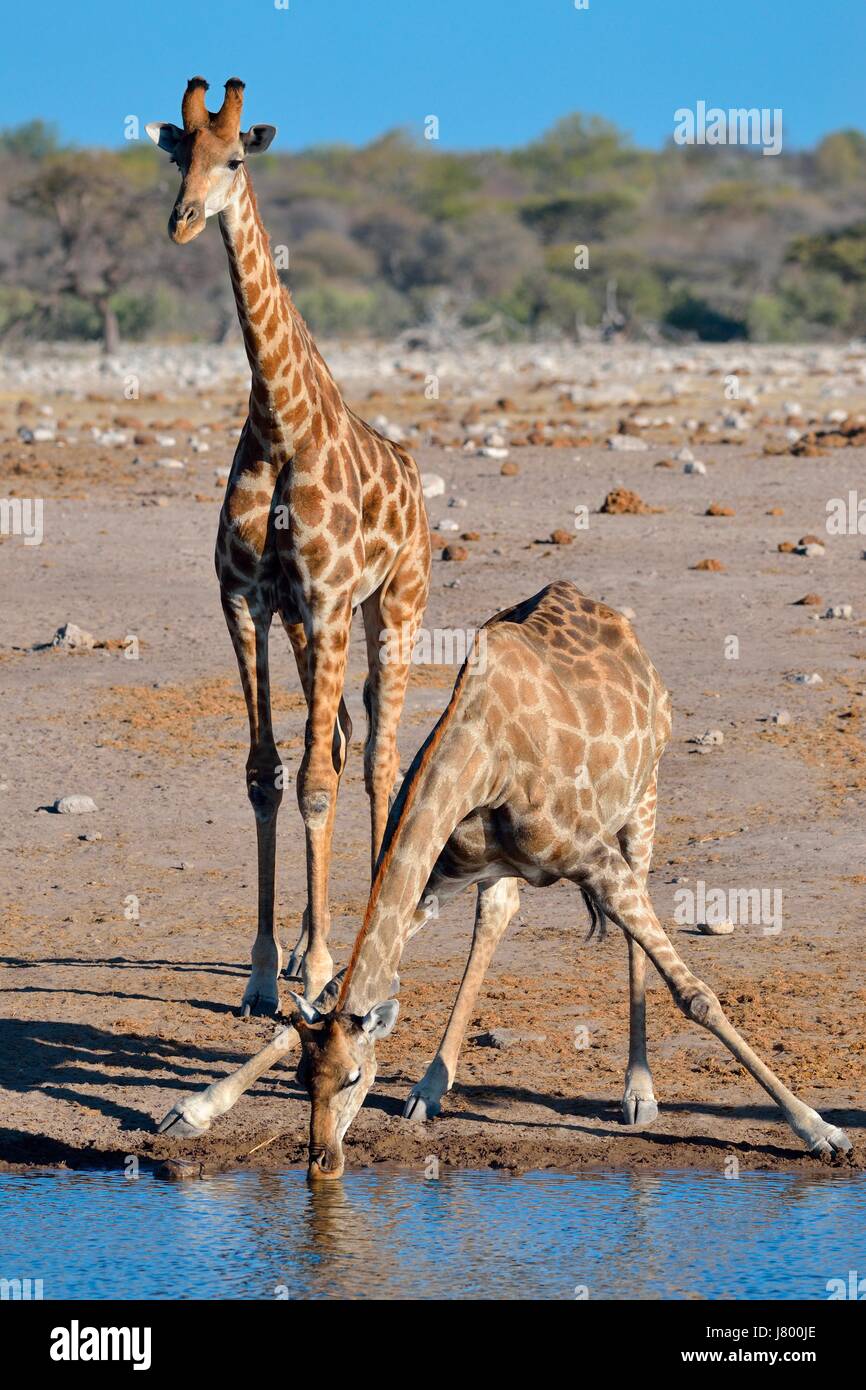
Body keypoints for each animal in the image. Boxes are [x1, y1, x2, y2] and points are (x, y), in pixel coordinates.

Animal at [146, 78, 431, 1010]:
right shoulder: (250, 599)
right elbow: (266, 775)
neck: (279, 423)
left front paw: (323, 966)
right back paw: (319, 941)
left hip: (393, 606)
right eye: (178, 154)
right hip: (315, 627)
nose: (183, 220)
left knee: (378, 754)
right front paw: (268, 970)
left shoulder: (331, 597)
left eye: (236, 157)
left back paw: (377, 934)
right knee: (338, 742)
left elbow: (313, 782)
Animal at [156, 581, 852, 1176]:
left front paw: (820, 1130)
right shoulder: (439, 875)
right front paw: (191, 1109)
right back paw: (430, 1087)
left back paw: (639, 1093)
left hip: (643, 803)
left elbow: (697, 996)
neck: (483, 756)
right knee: (496, 919)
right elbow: (335, 992)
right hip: (507, 868)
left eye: (354, 1078)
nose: (321, 1159)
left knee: (636, 935)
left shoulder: (595, 859)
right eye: (306, 1080)